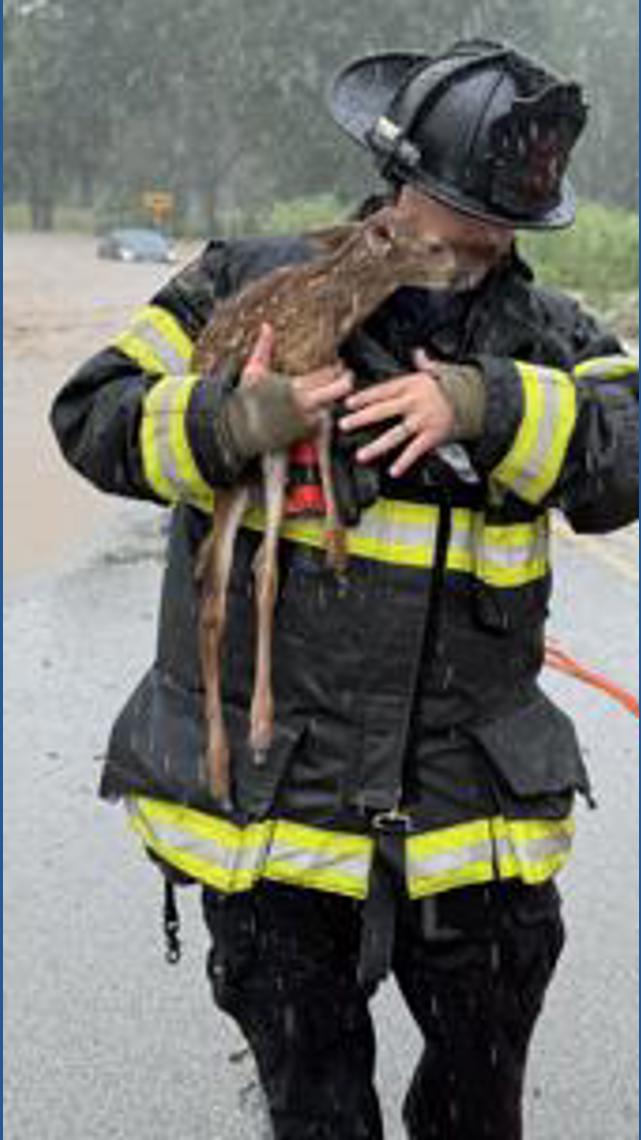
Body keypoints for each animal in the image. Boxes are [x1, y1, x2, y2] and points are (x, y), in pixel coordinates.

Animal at [192, 206, 484, 808]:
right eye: (436, 245)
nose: (470, 272)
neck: (331, 308)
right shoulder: (291, 388)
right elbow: (319, 436)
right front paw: (335, 543)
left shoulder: (321, 382)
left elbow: (327, 442)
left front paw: (337, 548)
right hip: (231, 477)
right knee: (213, 598)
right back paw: (222, 766)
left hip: (258, 471)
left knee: (262, 569)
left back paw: (258, 730)